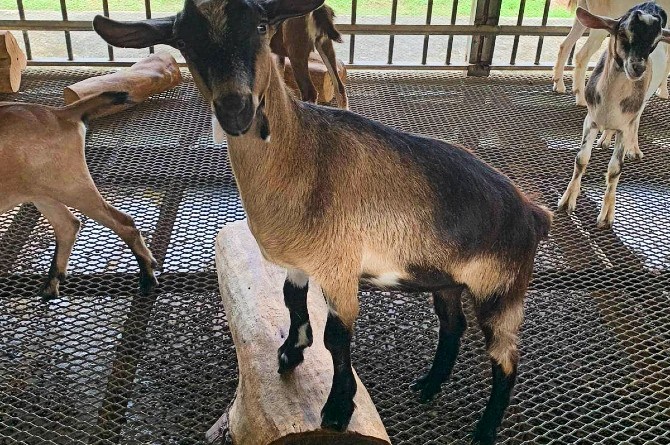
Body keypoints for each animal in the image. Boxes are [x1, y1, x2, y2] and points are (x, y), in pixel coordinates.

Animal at [0, 92, 158, 299]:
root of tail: (60, 114)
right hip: (43, 192)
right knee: (68, 225)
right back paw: (52, 284)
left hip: (71, 186)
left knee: (124, 223)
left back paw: (147, 277)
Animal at [94, 1, 551, 443]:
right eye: (184, 41)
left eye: (261, 25)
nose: (236, 109)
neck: (305, 157)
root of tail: (532, 213)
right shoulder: (300, 264)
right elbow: (292, 301)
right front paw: (290, 352)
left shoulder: (340, 269)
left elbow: (336, 337)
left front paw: (336, 410)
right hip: (448, 280)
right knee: (453, 326)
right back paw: (428, 385)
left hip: (501, 289)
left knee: (506, 359)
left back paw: (484, 431)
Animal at [558, 2, 670, 228]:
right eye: (622, 33)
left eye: (654, 42)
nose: (638, 68)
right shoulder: (590, 120)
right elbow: (581, 159)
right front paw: (567, 201)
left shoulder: (624, 127)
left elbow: (615, 169)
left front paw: (606, 216)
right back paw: (604, 139)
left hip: (643, 101)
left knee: (637, 119)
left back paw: (634, 149)